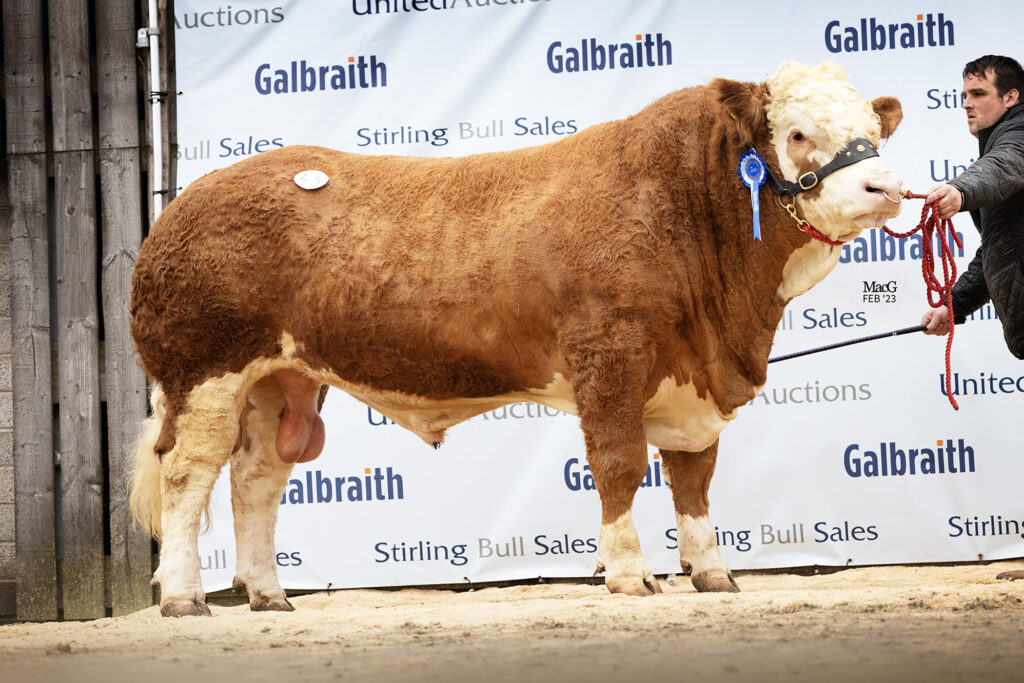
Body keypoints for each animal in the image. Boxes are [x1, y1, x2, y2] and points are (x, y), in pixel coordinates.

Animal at [129, 60, 903, 617]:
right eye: (797, 132)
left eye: (874, 125)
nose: (886, 186)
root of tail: (186, 202)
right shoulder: (609, 353)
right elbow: (619, 462)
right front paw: (630, 575)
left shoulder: (693, 382)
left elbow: (694, 476)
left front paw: (713, 573)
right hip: (204, 371)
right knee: (188, 472)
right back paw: (184, 597)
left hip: (280, 379)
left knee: (256, 478)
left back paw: (268, 594)